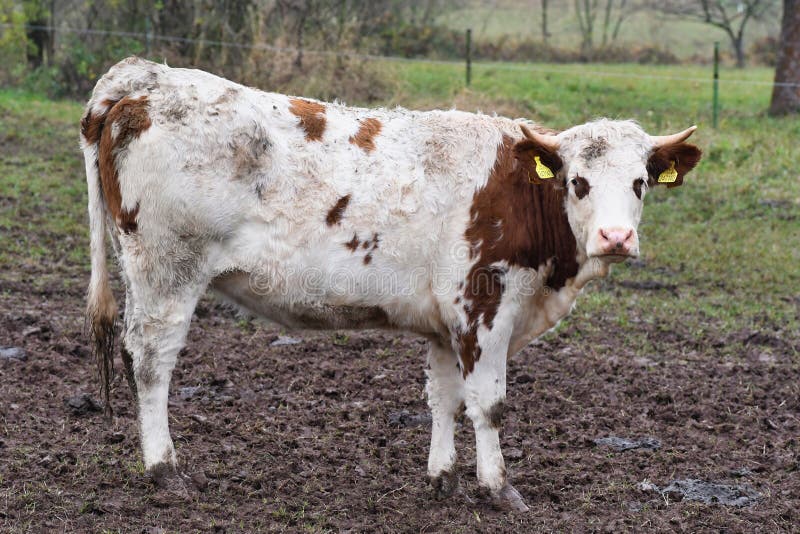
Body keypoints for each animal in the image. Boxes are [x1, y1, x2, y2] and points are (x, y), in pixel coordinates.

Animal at [82, 57, 701, 511]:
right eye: (578, 181)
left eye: (641, 182)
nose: (617, 237)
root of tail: (146, 78)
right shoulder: (484, 307)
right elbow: (488, 404)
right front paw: (499, 488)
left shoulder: (448, 322)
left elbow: (444, 398)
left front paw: (444, 479)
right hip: (166, 270)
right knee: (151, 361)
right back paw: (165, 470)